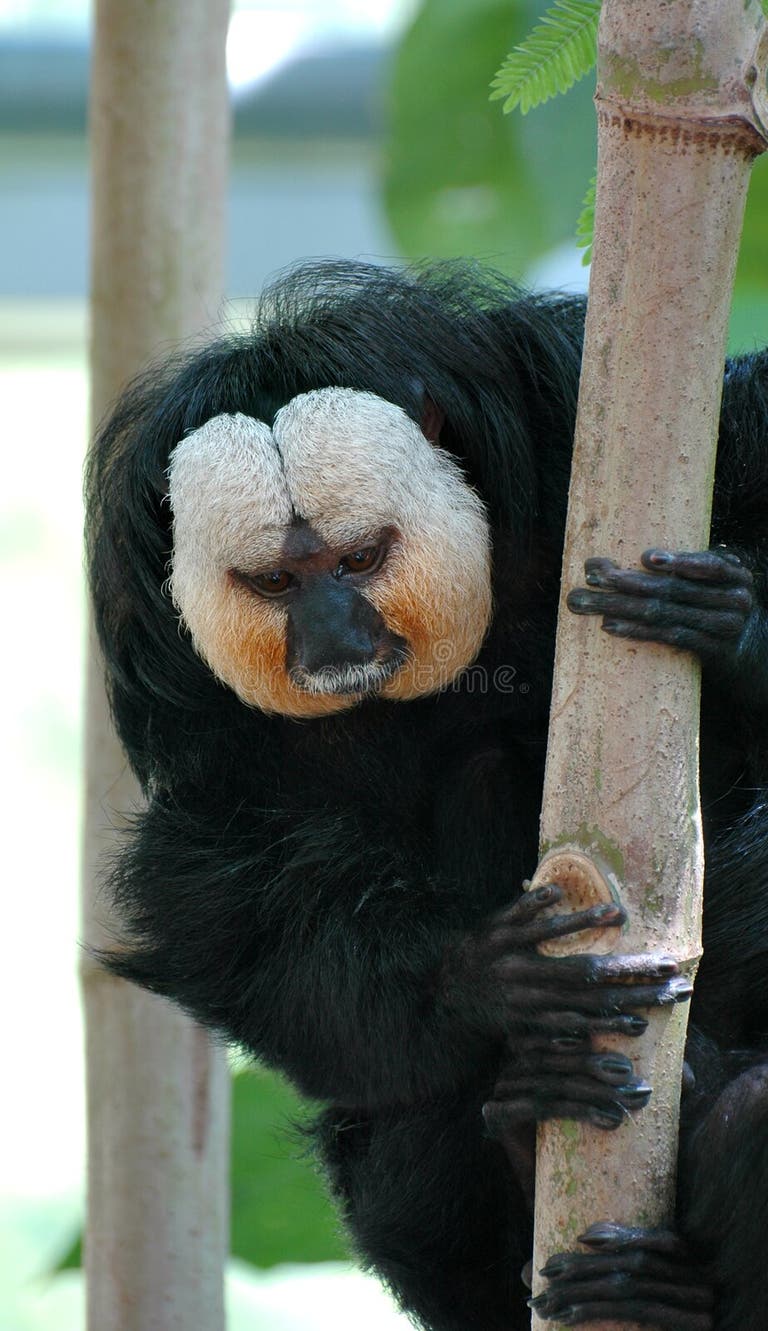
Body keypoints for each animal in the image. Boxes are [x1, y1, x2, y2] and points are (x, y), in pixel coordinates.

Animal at [86, 259, 768, 1331]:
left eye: (359, 560)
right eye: (276, 582)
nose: (333, 637)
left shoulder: (569, 415)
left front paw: (731, 629)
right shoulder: (174, 686)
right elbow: (221, 905)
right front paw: (484, 977)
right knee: (405, 1154)